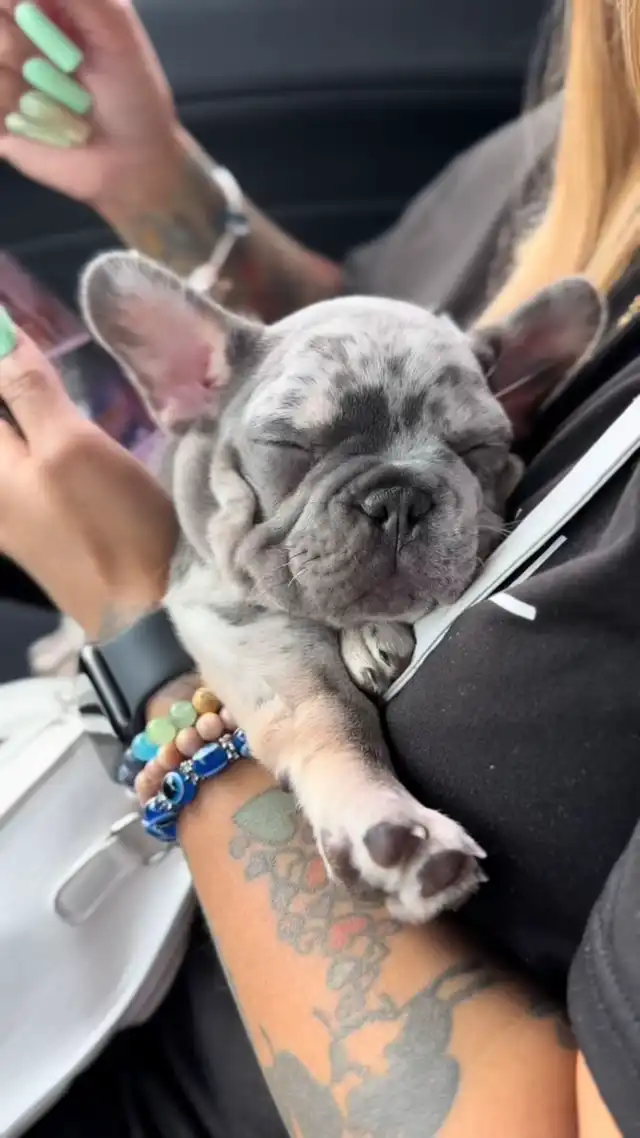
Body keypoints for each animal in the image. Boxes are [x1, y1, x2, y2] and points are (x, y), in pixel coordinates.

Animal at [80, 253, 603, 921]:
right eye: (287, 445)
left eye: (480, 448)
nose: (400, 495)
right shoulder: (229, 613)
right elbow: (329, 711)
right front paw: (385, 814)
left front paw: (370, 634)